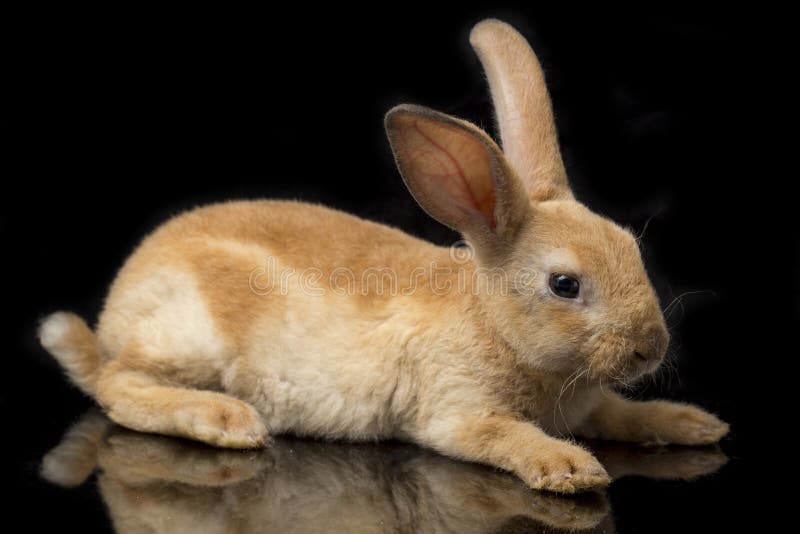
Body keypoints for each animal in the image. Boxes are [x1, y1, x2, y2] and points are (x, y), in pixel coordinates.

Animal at [38, 18, 729, 494]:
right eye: (564, 284)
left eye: (631, 246)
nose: (651, 348)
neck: (492, 324)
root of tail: (114, 310)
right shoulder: (458, 413)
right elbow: (502, 435)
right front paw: (568, 468)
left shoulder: (597, 403)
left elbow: (625, 412)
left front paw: (695, 425)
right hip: (188, 341)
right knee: (116, 385)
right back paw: (227, 420)